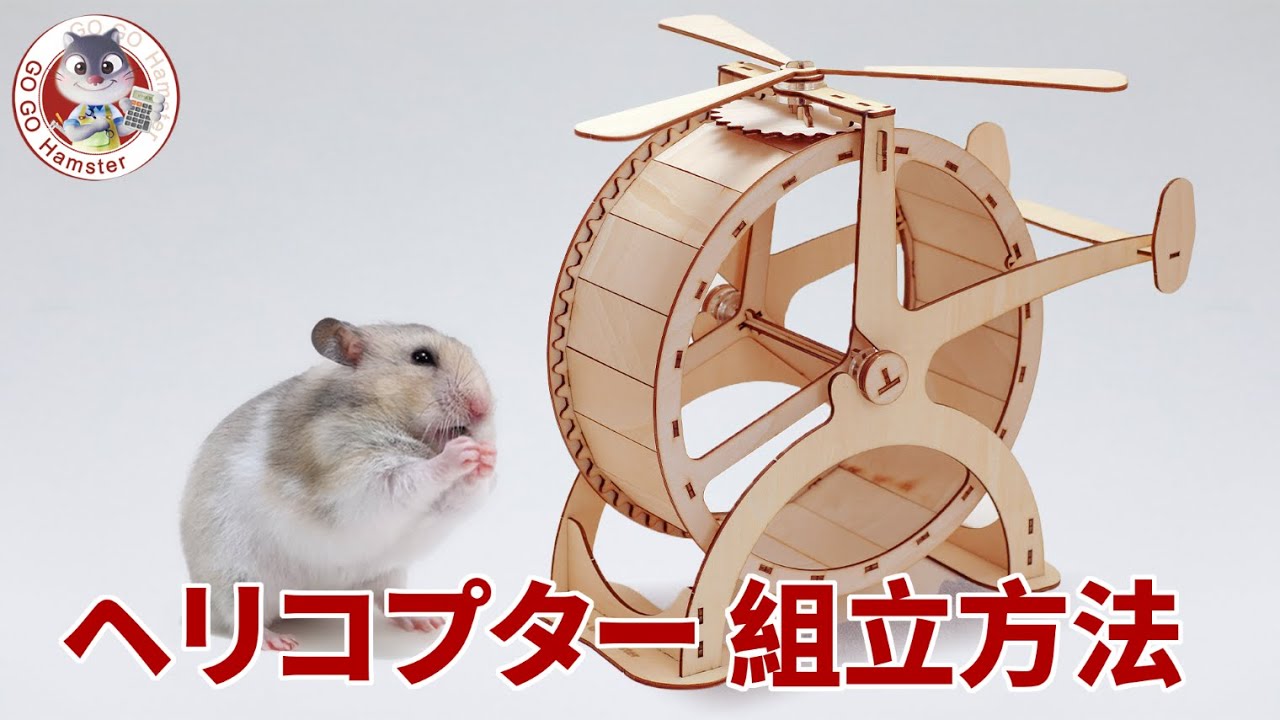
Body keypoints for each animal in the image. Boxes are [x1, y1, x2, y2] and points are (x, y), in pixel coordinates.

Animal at [180, 318, 496, 650]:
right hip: (235, 576)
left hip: (388, 572)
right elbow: (411, 477)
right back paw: (279, 642)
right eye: (422, 357)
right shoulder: (356, 480)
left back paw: (426, 621)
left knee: (386, 600)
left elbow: (460, 498)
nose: (484, 408)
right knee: (238, 617)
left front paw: (487, 457)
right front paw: (461, 452)